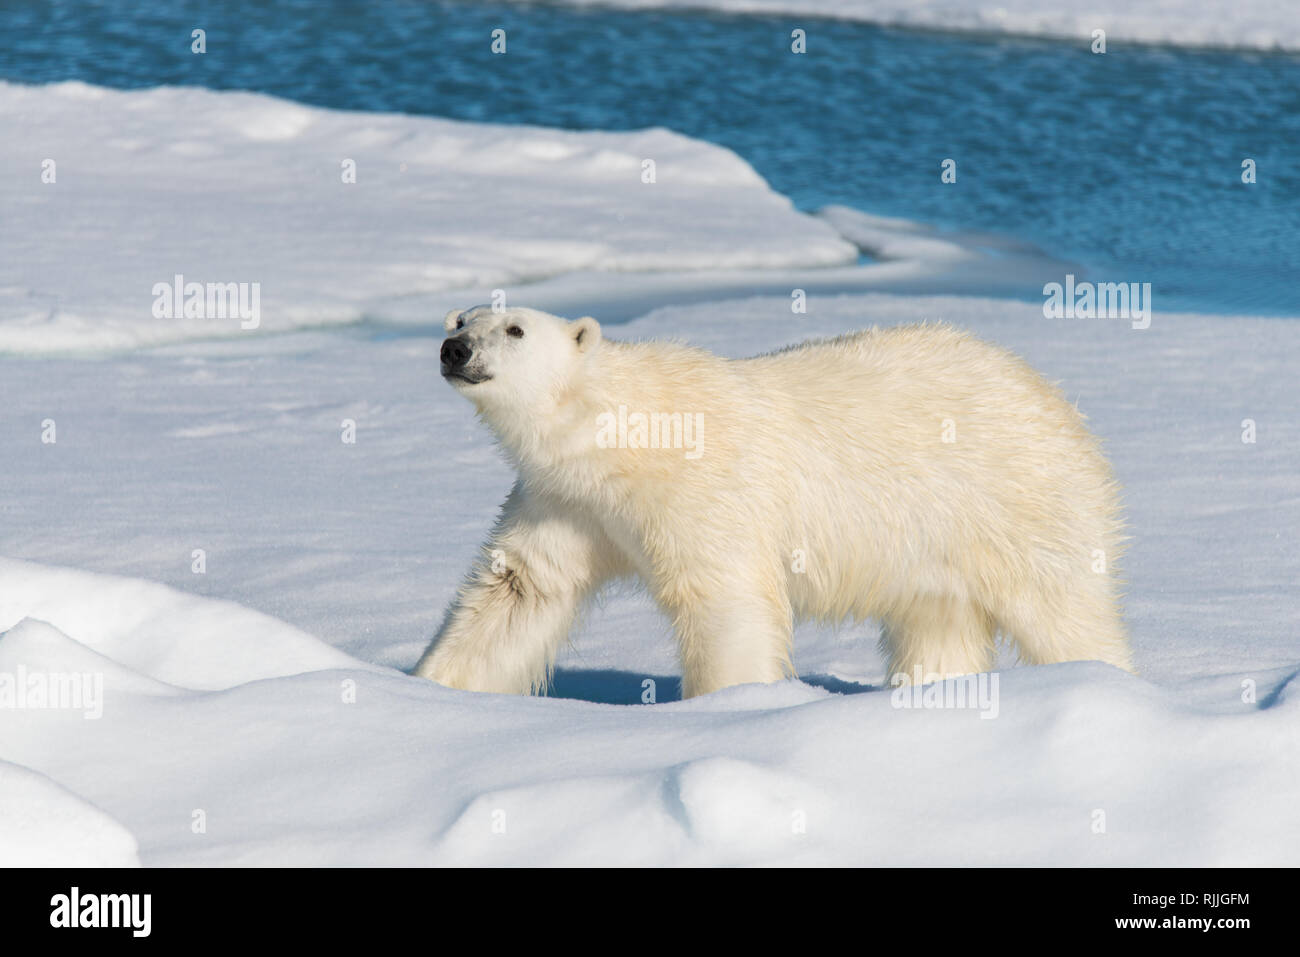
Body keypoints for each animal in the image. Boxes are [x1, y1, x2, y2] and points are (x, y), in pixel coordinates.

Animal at [414, 304, 1133, 698]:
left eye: (515, 328)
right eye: (461, 317)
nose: (456, 348)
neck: (622, 434)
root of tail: (1054, 398)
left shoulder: (704, 492)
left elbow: (725, 601)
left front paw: (726, 705)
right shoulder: (565, 502)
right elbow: (517, 589)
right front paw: (430, 686)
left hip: (1020, 500)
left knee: (1065, 611)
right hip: (937, 549)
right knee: (938, 625)